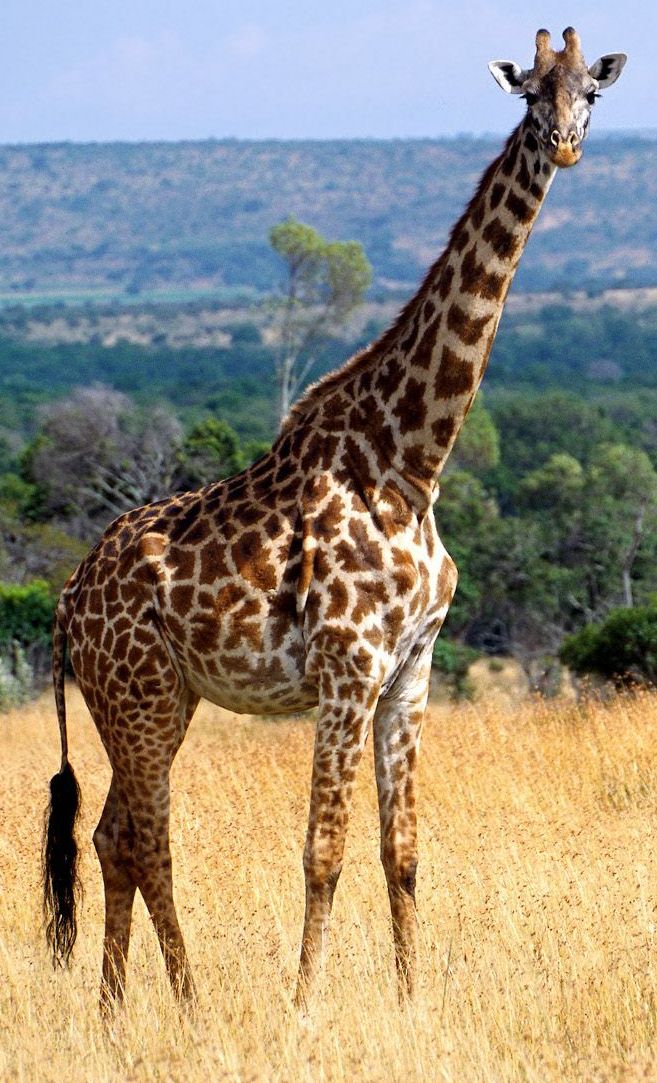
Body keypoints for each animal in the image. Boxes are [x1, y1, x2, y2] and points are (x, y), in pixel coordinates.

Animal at [43, 28, 626, 1010]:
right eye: (527, 92)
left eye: (590, 90)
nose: (563, 143)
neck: (412, 462)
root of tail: (66, 601)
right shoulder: (348, 668)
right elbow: (323, 852)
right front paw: (302, 1007)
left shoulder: (409, 670)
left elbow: (403, 853)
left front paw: (410, 998)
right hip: (140, 695)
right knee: (147, 838)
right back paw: (189, 1005)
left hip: (159, 698)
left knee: (112, 835)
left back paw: (118, 1009)